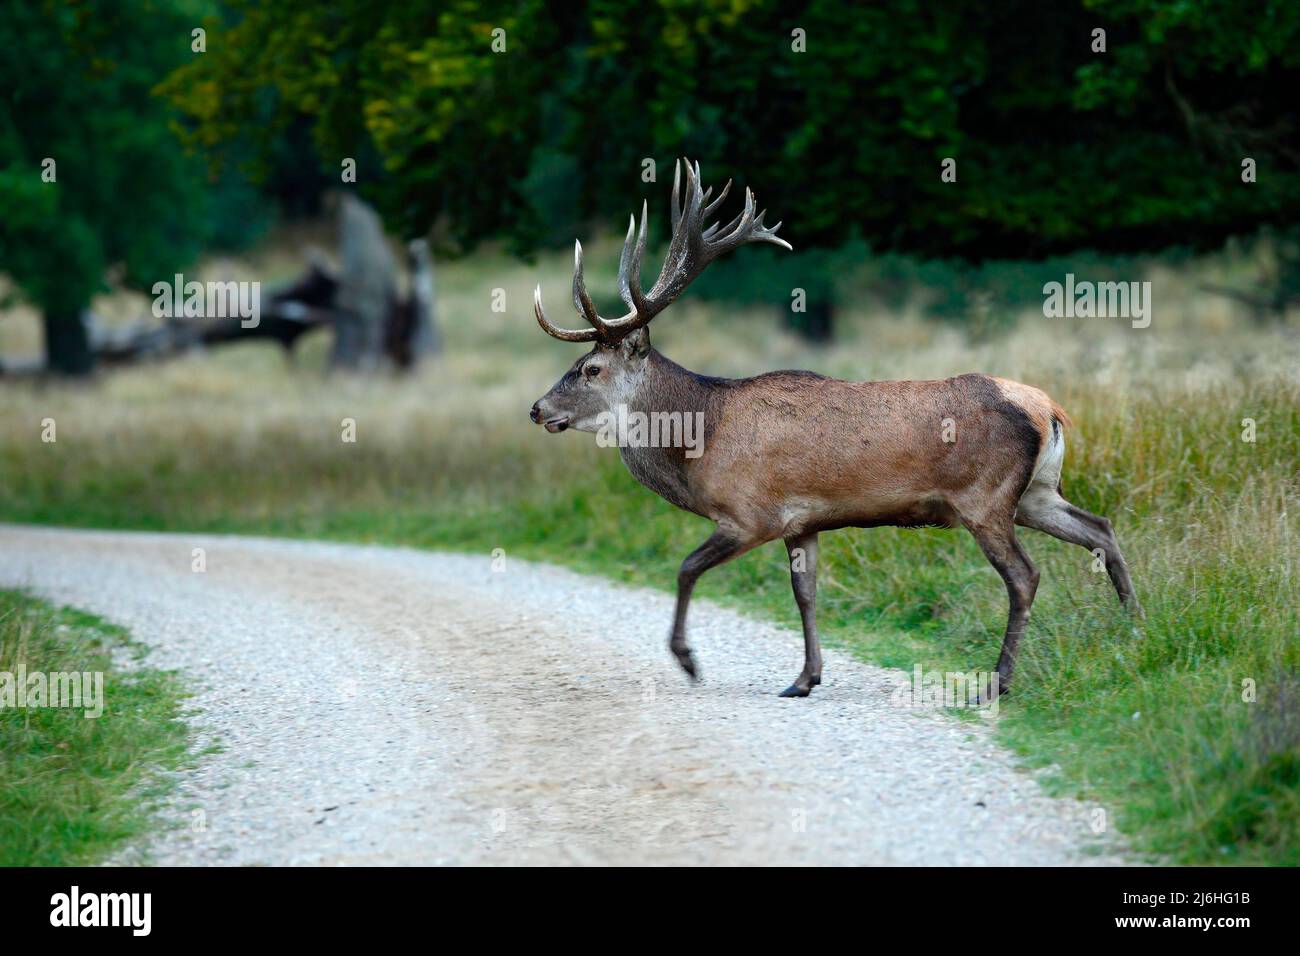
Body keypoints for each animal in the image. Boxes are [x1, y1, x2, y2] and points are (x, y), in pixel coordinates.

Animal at [529, 160, 1141, 699]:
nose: (537, 409)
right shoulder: (802, 521)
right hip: (1036, 493)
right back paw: (1134, 630)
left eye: (591, 368)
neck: (699, 438)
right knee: (1100, 528)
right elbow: (806, 594)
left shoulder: (750, 513)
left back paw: (998, 683)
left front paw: (688, 661)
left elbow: (685, 569)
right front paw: (805, 678)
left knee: (1025, 575)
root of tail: (1049, 409)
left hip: (985, 498)